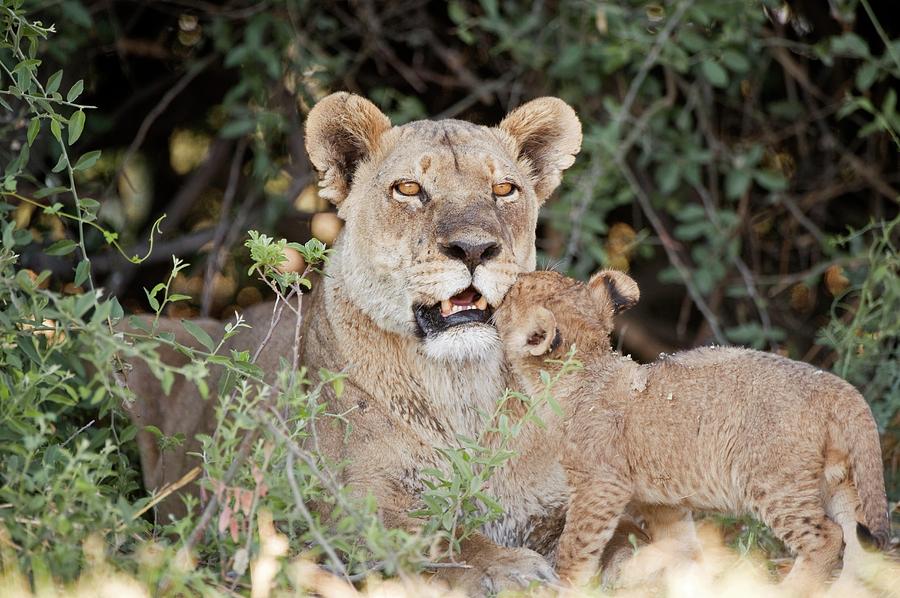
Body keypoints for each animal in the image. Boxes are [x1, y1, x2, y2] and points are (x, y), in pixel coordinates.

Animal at [124, 93, 652, 594]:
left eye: (503, 189)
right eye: (409, 189)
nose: (474, 249)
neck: (463, 385)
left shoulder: (561, 495)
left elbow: (626, 533)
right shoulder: (349, 506)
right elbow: (439, 537)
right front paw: (508, 570)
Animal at [494, 268, 890, 588]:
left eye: (514, 293)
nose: (507, 282)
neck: (581, 373)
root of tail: (836, 387)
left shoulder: (599, 484)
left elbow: (575, 546)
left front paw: (561, 584)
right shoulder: (658, 499)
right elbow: (682, 546)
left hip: (776, 482)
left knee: (827, 540)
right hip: (841, 481)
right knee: (862, 547)